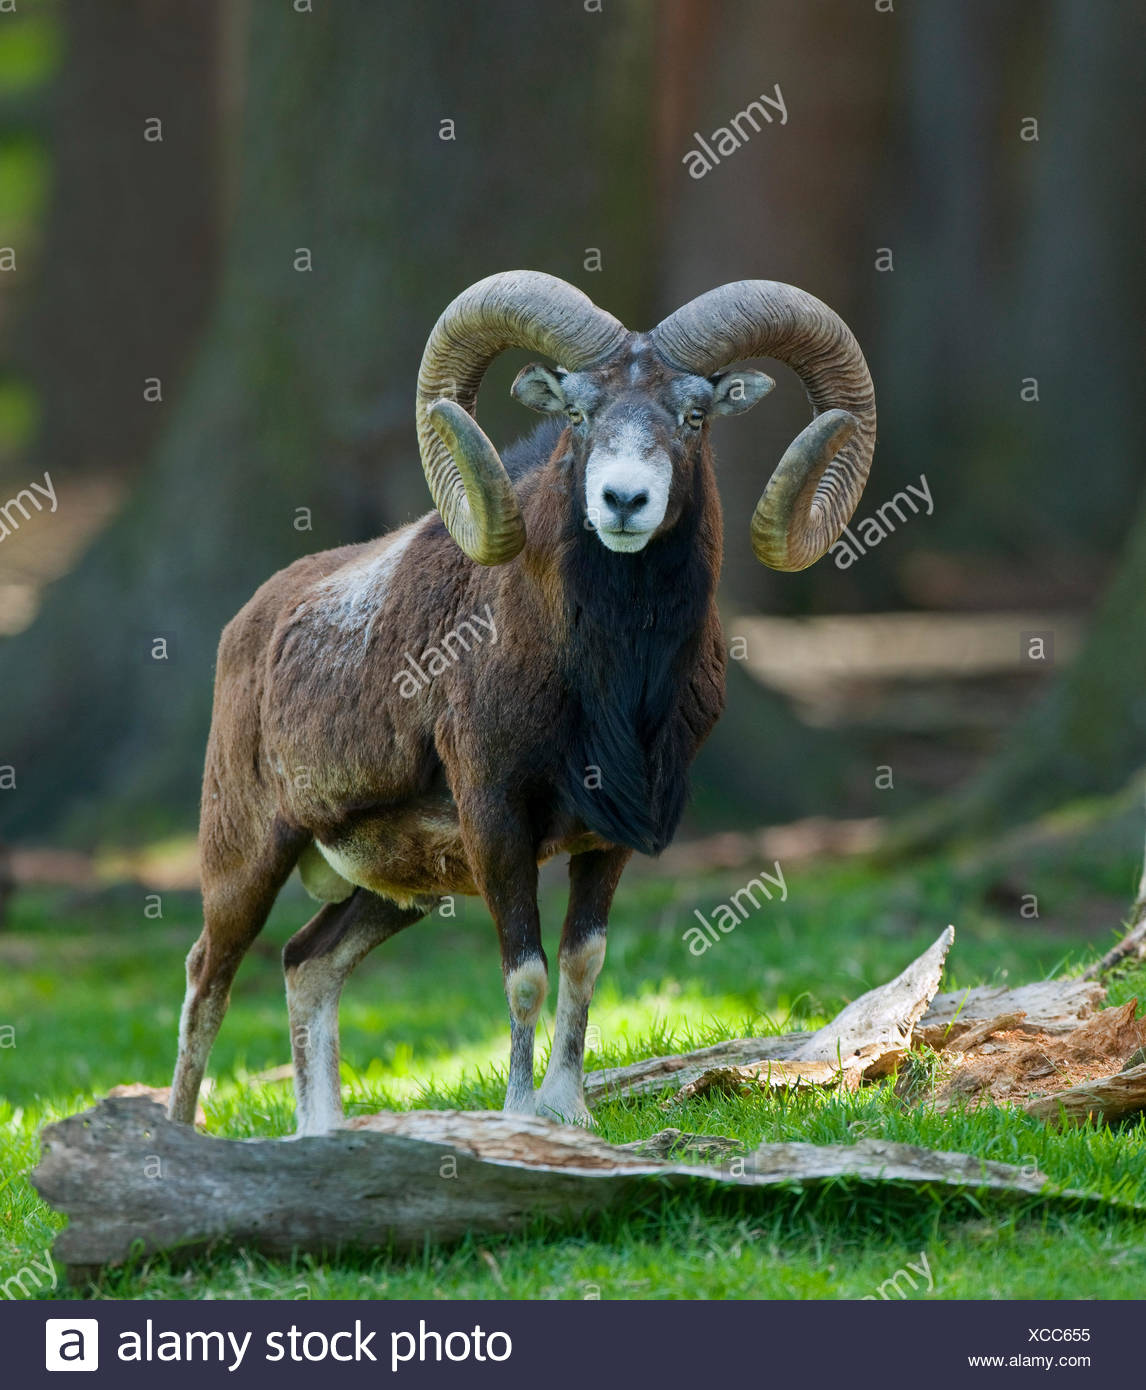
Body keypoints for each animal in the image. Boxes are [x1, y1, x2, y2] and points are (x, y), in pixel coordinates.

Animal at [167, 270, 875, 1135]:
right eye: (578, 413)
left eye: (693, 415)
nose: (624, 501)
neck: (614, 681)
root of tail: (252, 623)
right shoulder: (497, 817)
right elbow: (526, 974)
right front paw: (520, 1114)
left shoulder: (609, 836)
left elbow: (581, 960)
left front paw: (570, 1111)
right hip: (245, 861)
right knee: (208, 979)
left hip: (394, 891)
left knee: (308, 965)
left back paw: (323, 1132)